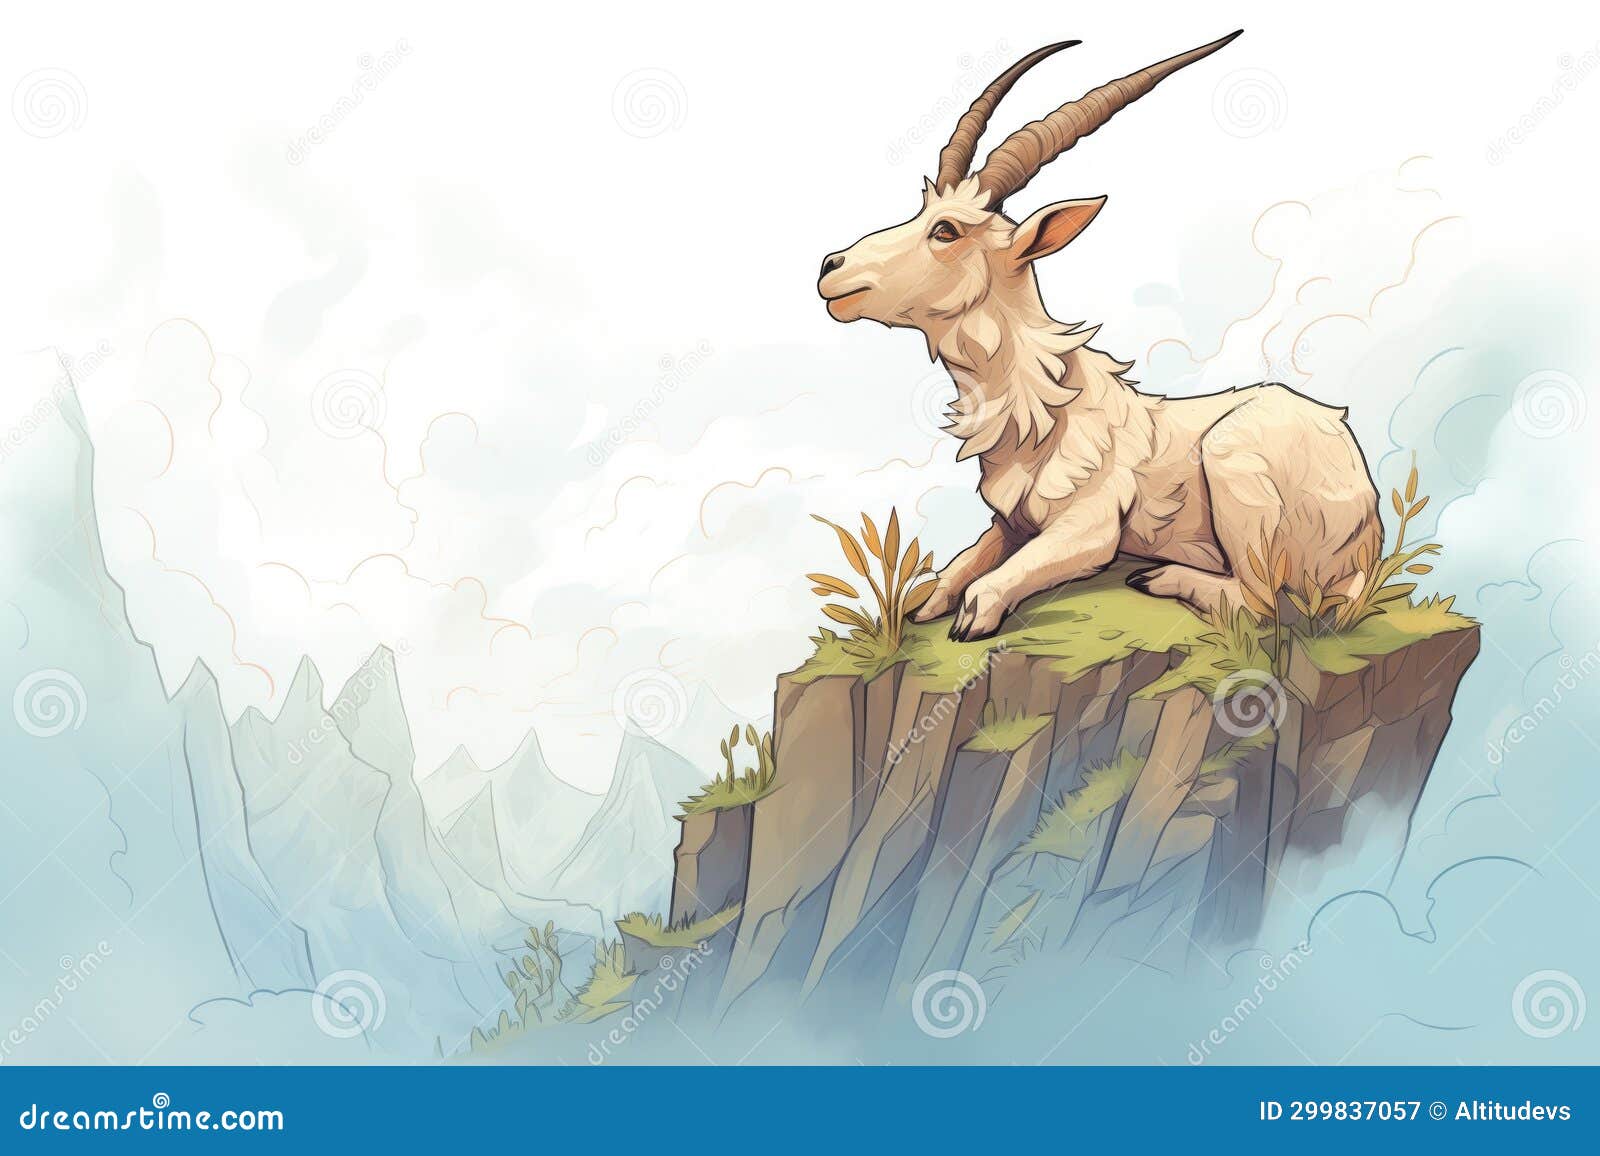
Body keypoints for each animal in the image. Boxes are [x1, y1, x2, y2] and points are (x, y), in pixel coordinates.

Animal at [817, 32, 1380, 641]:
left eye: (946, 230)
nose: (831, 267)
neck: (1046, 412)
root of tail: (1368, 524)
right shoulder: (1010, 524)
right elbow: (956, 570)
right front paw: (924, 604)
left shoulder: (1091, 528)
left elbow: (986, 586)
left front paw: (971, 620)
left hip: (1233, 467)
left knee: (1259, 601)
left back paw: (1158, 577)